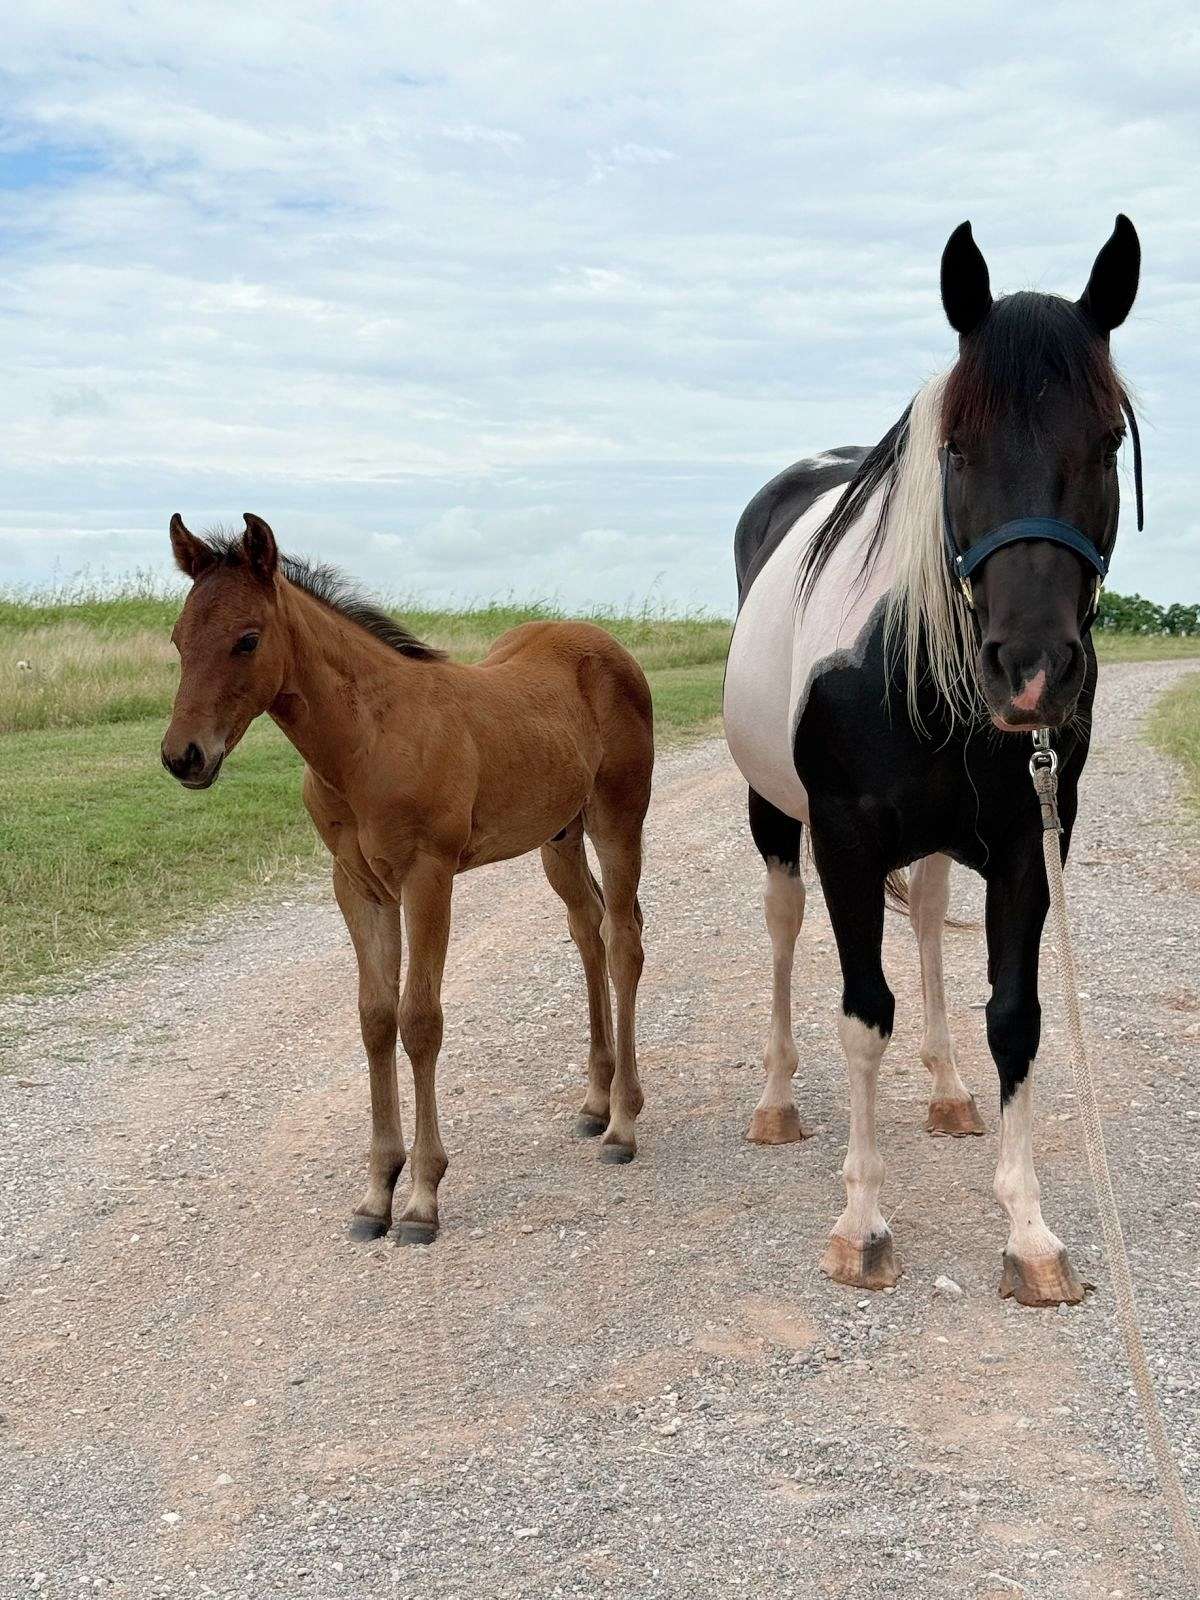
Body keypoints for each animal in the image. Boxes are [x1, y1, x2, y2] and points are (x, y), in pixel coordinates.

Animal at [161, 516, 654, 1243]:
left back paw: (622, 1123)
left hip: (617, 819)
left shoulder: (428, 877)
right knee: (587, 931)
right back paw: (594, 1103)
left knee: (623, 941)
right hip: (557, 838)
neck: (368, 742)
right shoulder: (357, 886)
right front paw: (375, 1195)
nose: (183, 757)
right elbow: (375, 1018)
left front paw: (422, 1198)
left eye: (246, 639)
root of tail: (607, 646)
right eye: (178, 638)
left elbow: (420, 1020)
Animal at [723, 216, 1141, 1305]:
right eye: (956, 448)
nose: (1032, 673)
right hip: (775, 820)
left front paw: (1029, 1233)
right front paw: (862, 1223)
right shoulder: (846, 839)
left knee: (925, 926)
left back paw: (950, 1090)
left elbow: (1016, 1018)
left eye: (1108, 441)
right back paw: (778, 1102)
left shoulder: (1033, 844)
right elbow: (862, 1014)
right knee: (782, 927)